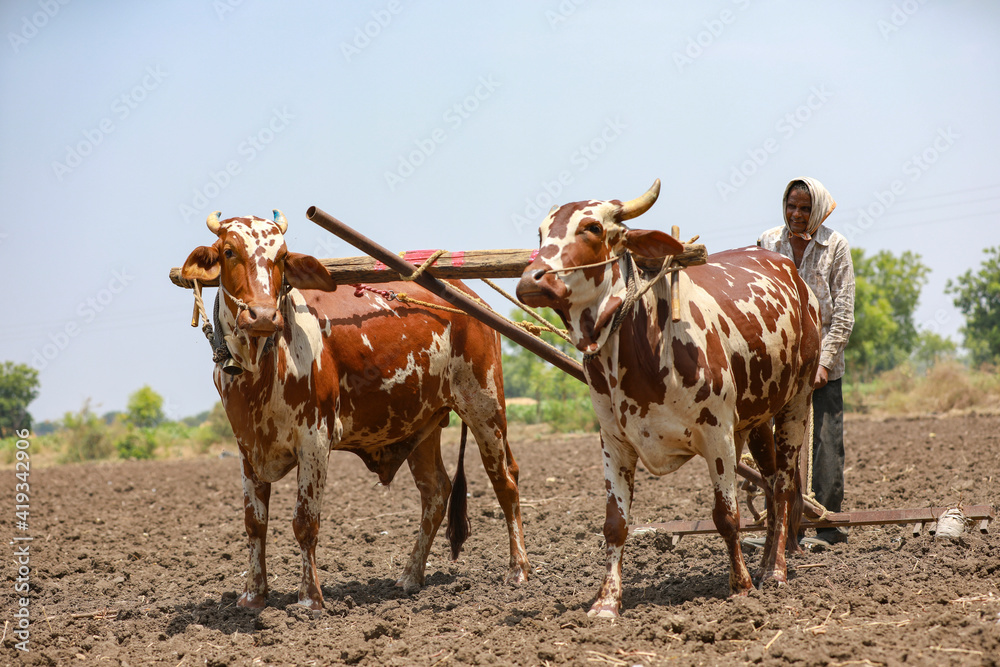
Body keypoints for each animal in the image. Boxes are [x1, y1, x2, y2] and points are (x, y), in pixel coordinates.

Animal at [180, 210, 530, 610]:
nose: (263, 315)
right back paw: (411, 576)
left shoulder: (314, 440)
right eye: (228, 251)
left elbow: (305, 522)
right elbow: (255, 523)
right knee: (436, 492)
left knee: (505, 480)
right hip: (422, 424)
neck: (258, 367)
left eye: (282, 257)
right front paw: (253, 596)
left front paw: (310, 599)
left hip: (485, 404)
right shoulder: (247, 448)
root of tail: (468, 298)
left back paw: (518, 569)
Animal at [515, 180, 821, 617]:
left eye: (592, 227)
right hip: (757, 419)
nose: (531, 279)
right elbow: (615, 524)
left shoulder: (717, 435)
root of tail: (792, 273)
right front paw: (606, 602)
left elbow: (726, 515)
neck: (644, 342)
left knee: (781, 485)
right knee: (769, 483)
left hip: (797, 401)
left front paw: (741, 587)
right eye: (540, 233)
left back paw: (774, 571)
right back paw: (765, 564)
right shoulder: (614, 442)